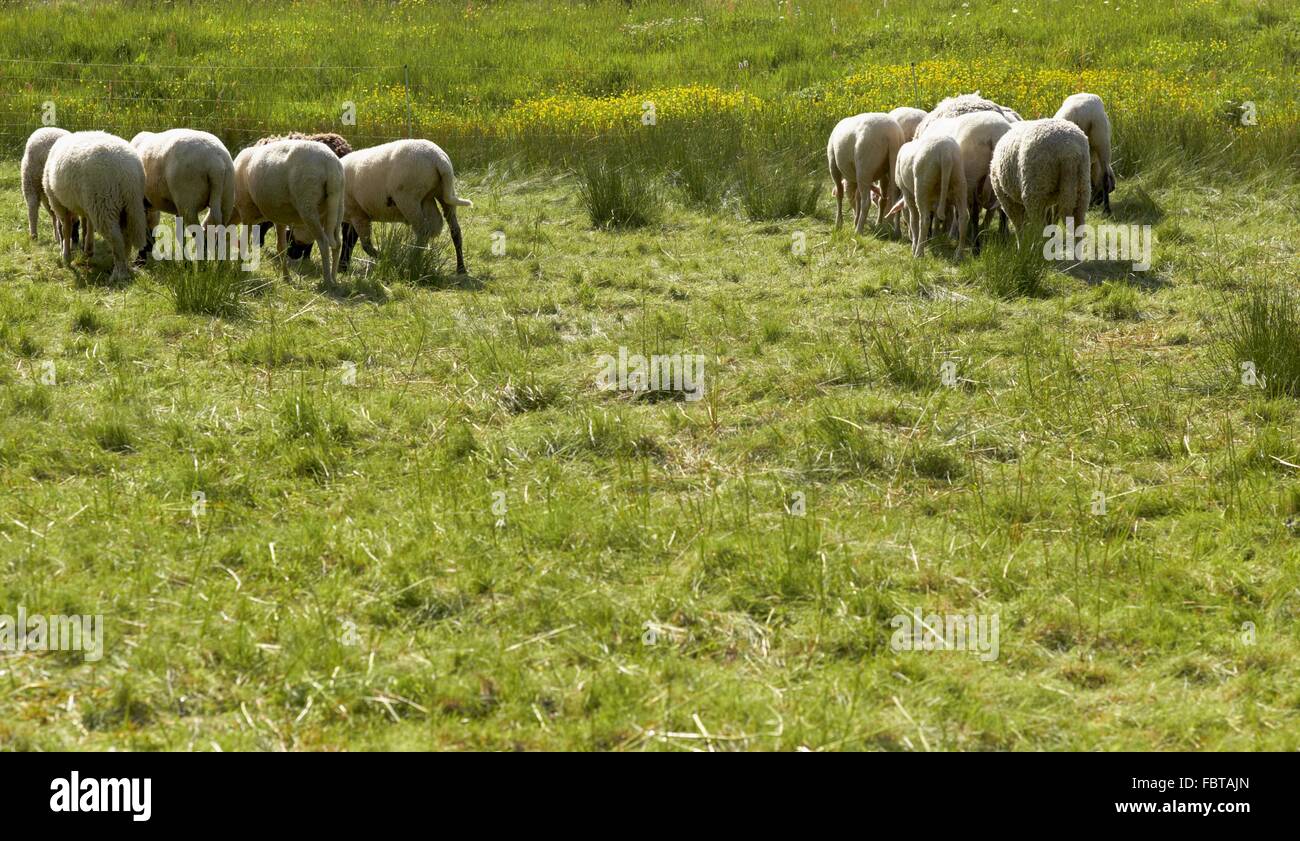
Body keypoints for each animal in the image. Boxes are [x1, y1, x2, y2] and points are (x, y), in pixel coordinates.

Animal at [42, 131, 148, 284]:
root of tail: (128, 172)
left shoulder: (58, 202)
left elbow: (66, 229)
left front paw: (66, 256)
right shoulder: (87, 206)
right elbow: (89, 226)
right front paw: (87, 249)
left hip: (104, 203)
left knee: (116, 239)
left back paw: (119, 274)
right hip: (126, 205)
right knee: (126, 238)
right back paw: (123, 266)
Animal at [130, 129, 235, 260]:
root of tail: (216, 164)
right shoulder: (174, 208)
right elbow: (178, 233)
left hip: (188, 198)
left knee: (200, 235)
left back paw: (201, 262)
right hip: (226, 196)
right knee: (220, 232)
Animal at [229, 138, 345, 287]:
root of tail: (330, 163)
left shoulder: (246, 211)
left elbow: (243, 241)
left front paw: (238, 269)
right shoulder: (279, 218)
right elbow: (281, 247)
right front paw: (286, 277)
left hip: (308, 205)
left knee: (324, 242)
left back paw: (327, 281)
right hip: (337, 206)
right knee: (337, 243)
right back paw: (334, 278)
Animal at [341, 139, 472, 274]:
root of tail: (438, 158)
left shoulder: (357, 213)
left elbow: (362, 244)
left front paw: (388, 259)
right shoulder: (355, 215)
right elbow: (349, 240)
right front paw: (343, 267)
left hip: (408, 199)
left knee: (423, 231)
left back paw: (410, 261)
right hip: (441, 194)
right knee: (454, 230)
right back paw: (461, 268)